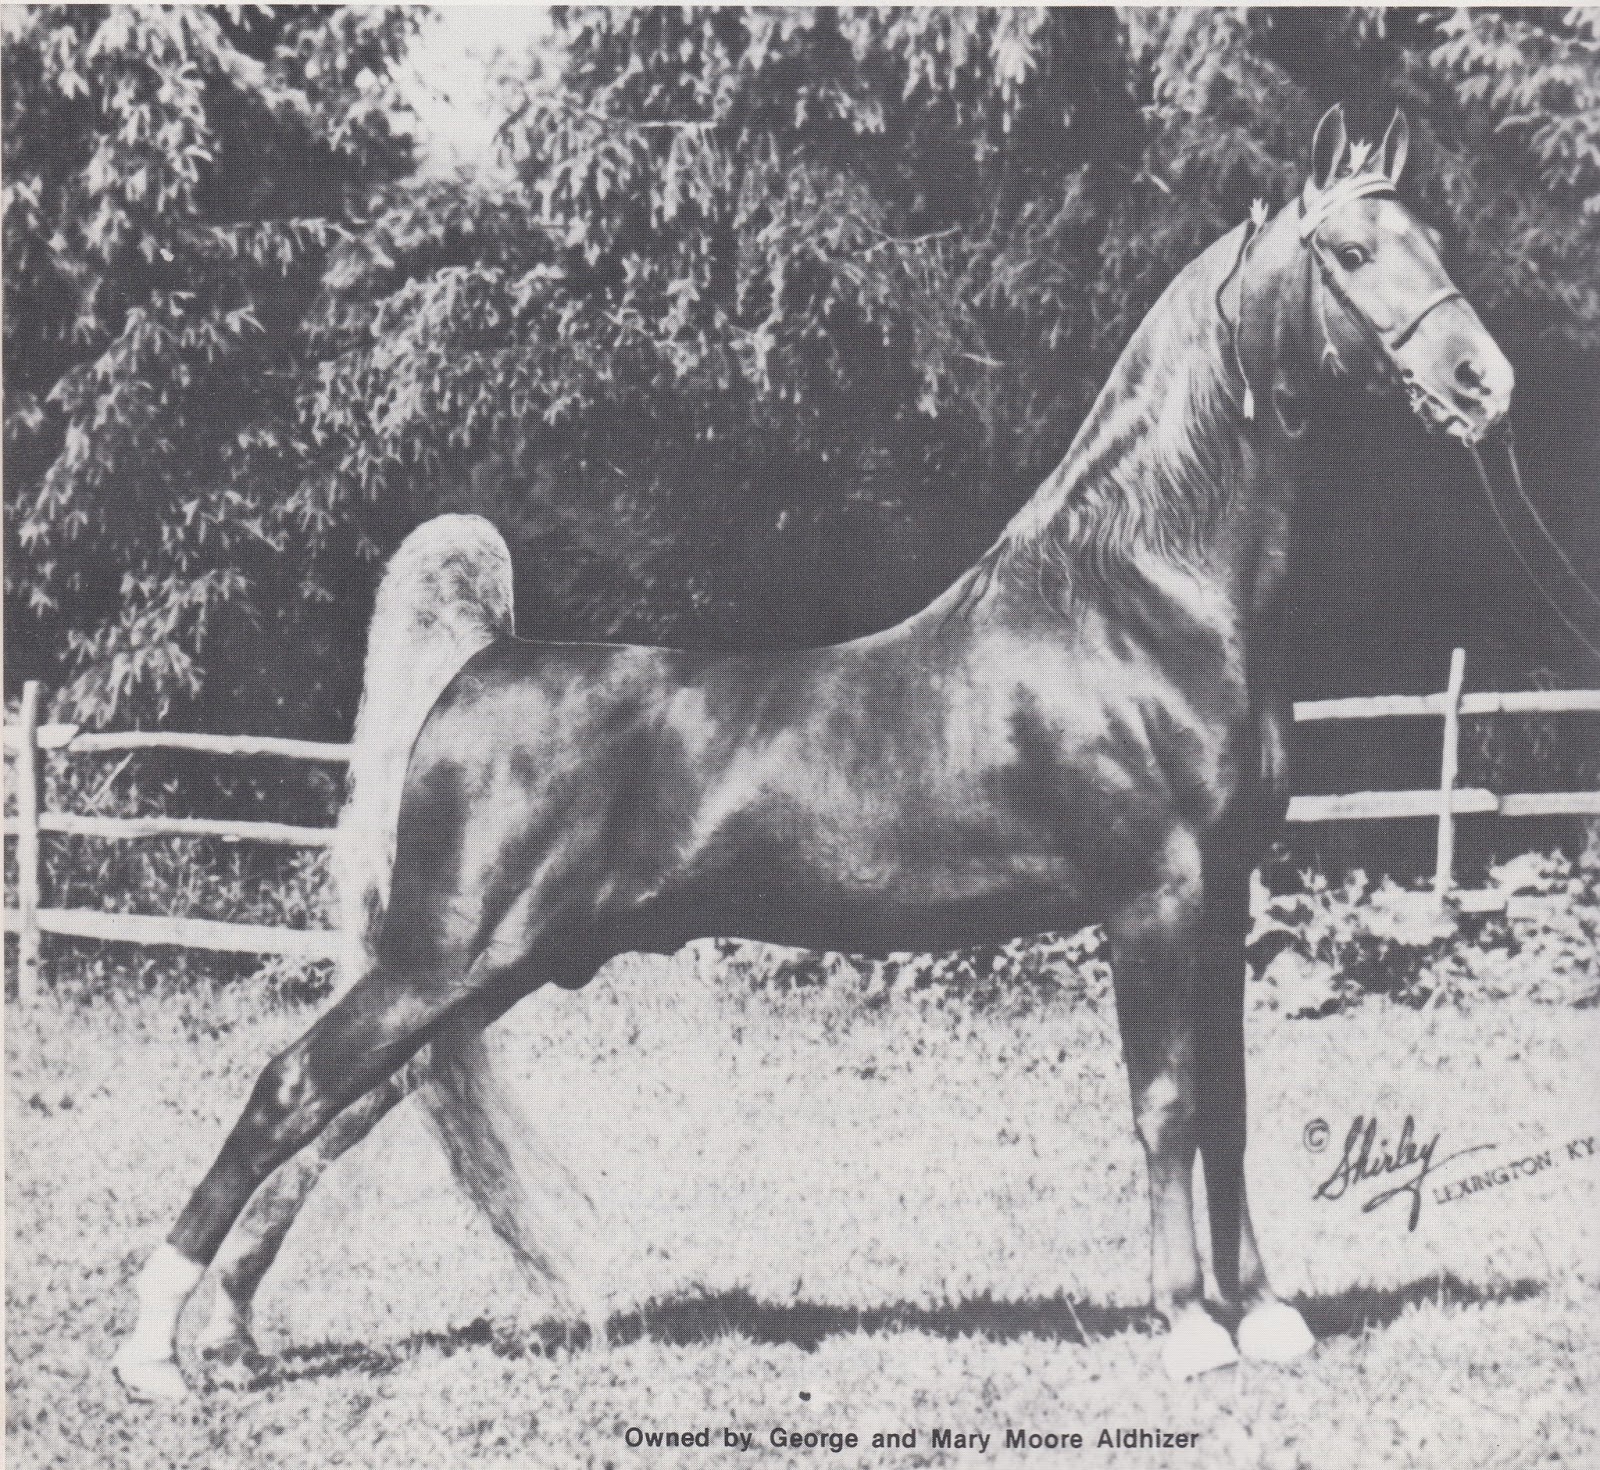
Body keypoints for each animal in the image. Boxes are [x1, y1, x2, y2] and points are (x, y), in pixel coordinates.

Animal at [112, 105, 1513, 1400]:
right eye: (1349, 251)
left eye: (1435, 241)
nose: (1483, 383)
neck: (1138, 599)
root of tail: (482, 661)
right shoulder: (1151, 897)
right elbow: (1166, 1103)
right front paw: (1188, 1329)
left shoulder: (1222, 895)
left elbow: (1227, 1101)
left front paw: (1266, 1316)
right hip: (446, 959)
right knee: (290, 1084)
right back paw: (149, 1355)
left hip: (484, 973)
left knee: (343, 1109)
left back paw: (228, 1335)